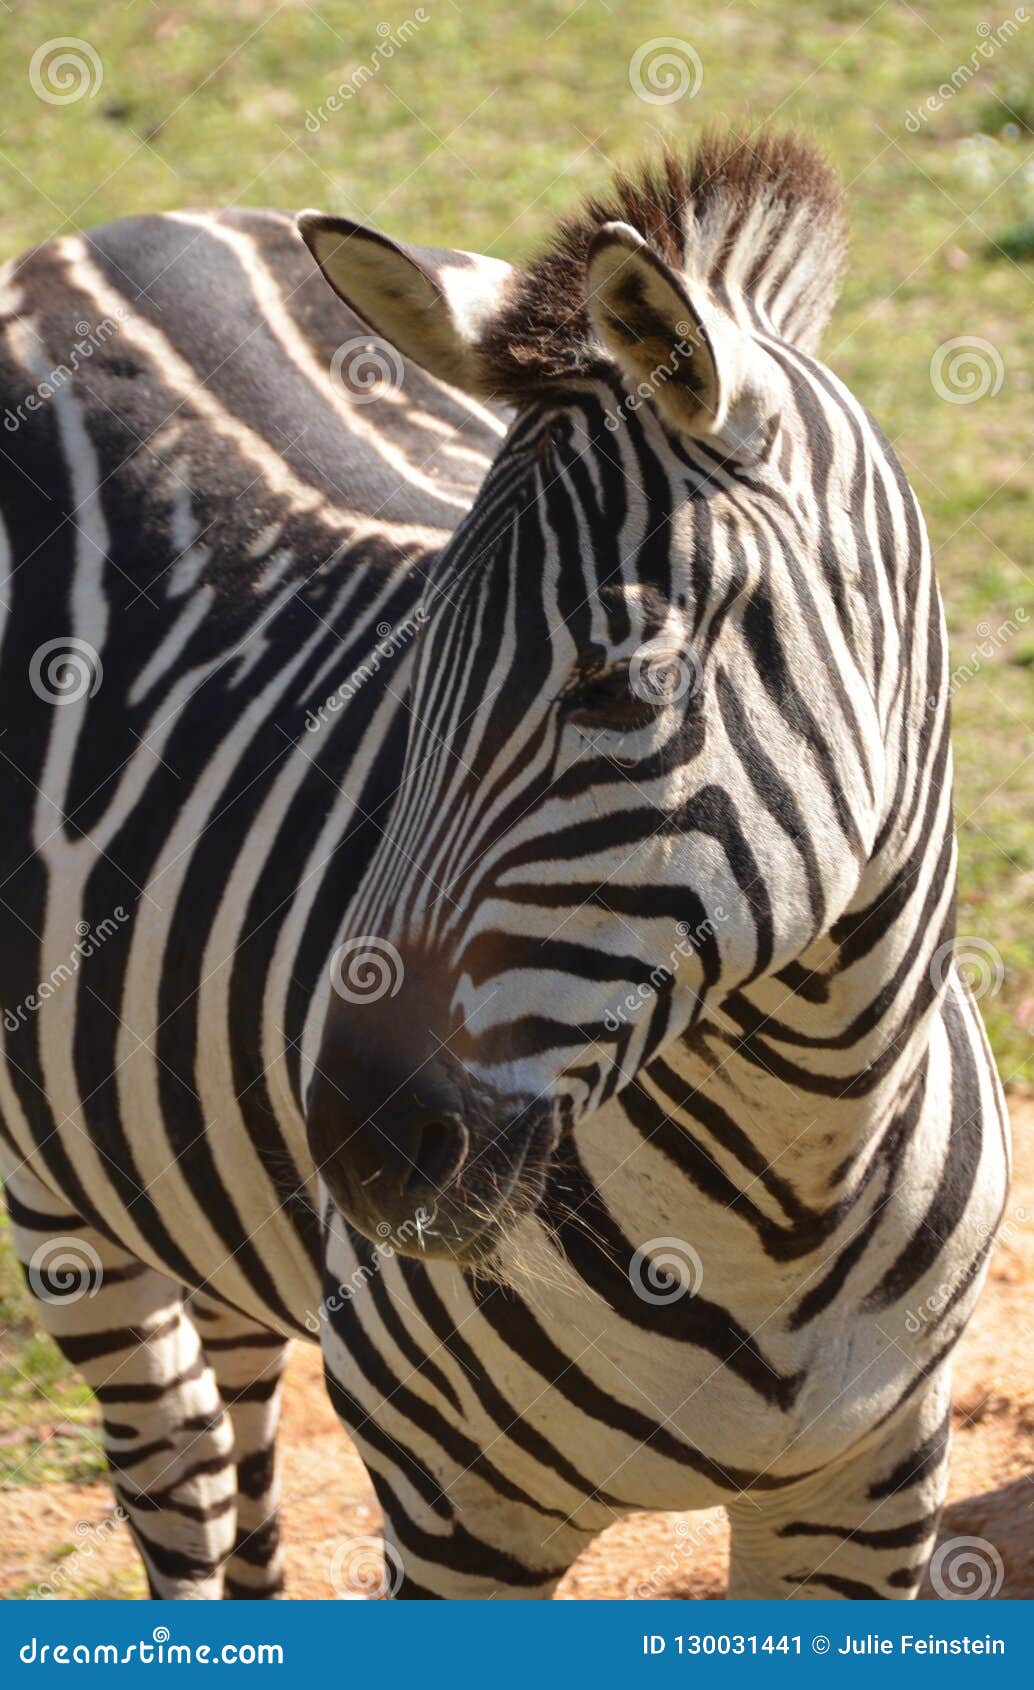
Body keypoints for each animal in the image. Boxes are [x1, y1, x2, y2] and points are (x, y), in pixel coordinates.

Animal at [0, 127, 1009, 1601]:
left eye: (622, 687)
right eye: (408, 665)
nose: (359, 1152)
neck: (795, 1190)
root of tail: (109, 232)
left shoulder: (863, 1500)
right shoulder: (455, 1517)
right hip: (59, 1194)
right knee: (174, 1463)